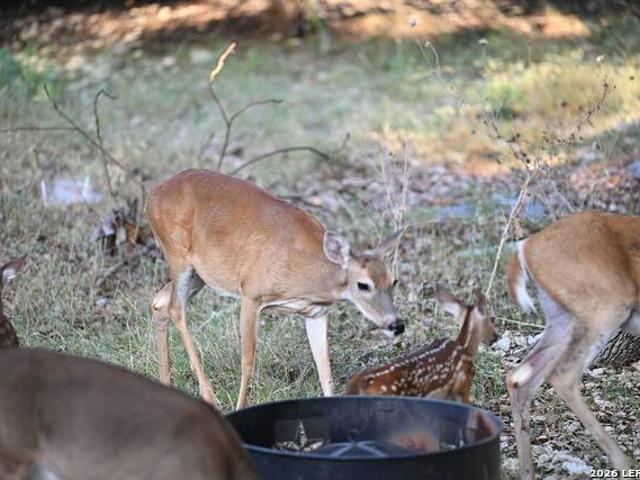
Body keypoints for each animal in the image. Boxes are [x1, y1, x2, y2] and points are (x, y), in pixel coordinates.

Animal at [147, 169, 406, 409]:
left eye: (393, 281)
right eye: (363, 284)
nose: (396, 324)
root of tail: (155, 194)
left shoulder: (316, 312)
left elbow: (325, 368)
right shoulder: (251, 293)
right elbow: (247, 361)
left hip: (200, 274)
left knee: (159, 303)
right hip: (178, 256)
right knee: (176, 309)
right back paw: (208, 397)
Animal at [507, 210, 640, 479]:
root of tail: (527, 248)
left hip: (563, 318)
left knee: (519, 377)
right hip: (605, 307)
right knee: (562, 375)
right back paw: (626, 465)